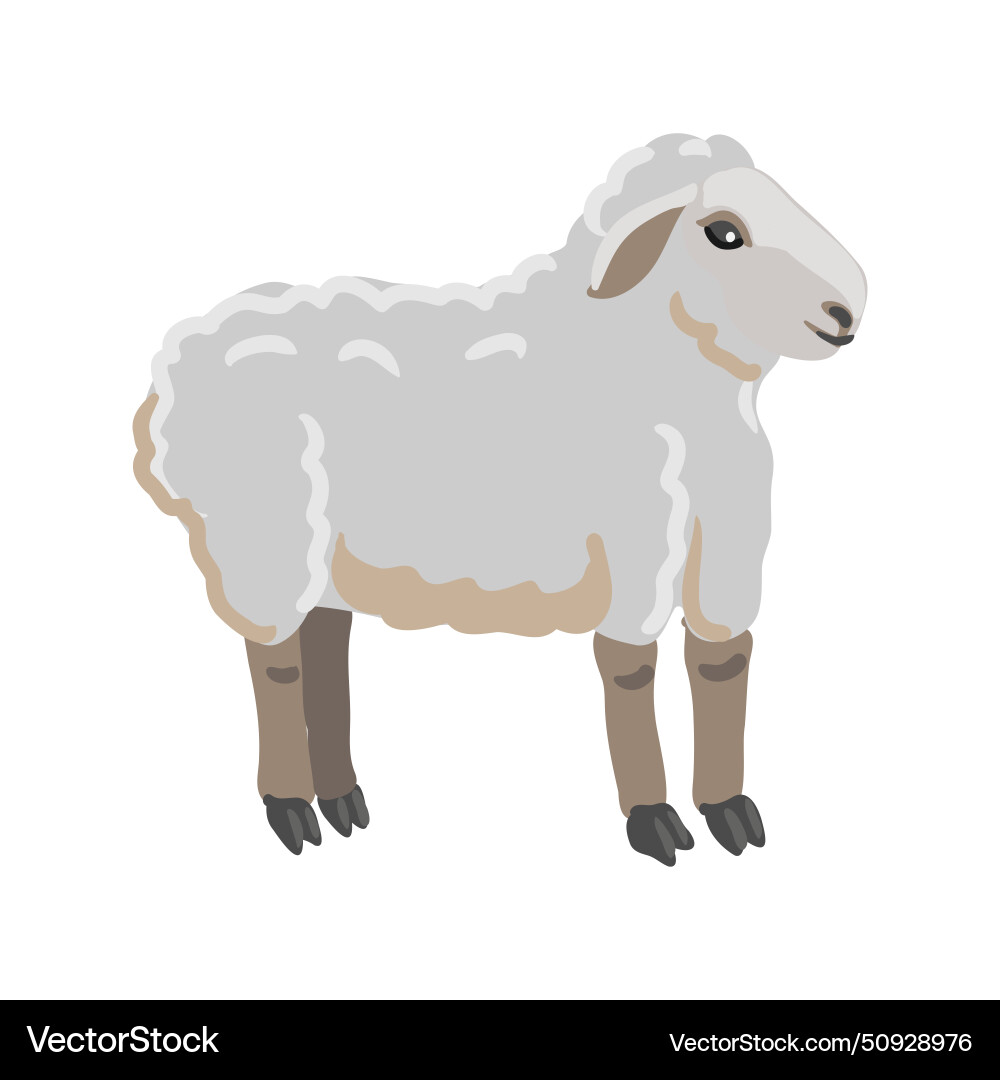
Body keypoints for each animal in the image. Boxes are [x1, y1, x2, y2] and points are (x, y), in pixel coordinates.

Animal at [134, 132, 866, 864]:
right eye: (724, 233)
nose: (847, 312)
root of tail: (171, 373)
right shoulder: (639, 537)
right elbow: (630, 668)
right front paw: (653, 819)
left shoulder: (731, 545)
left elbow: (722, 662)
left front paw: (729, 811)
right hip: (266, 536)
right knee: (278, 661)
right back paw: (291, 807)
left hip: (327, 552)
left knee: (323, 645)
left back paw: (343, 800)